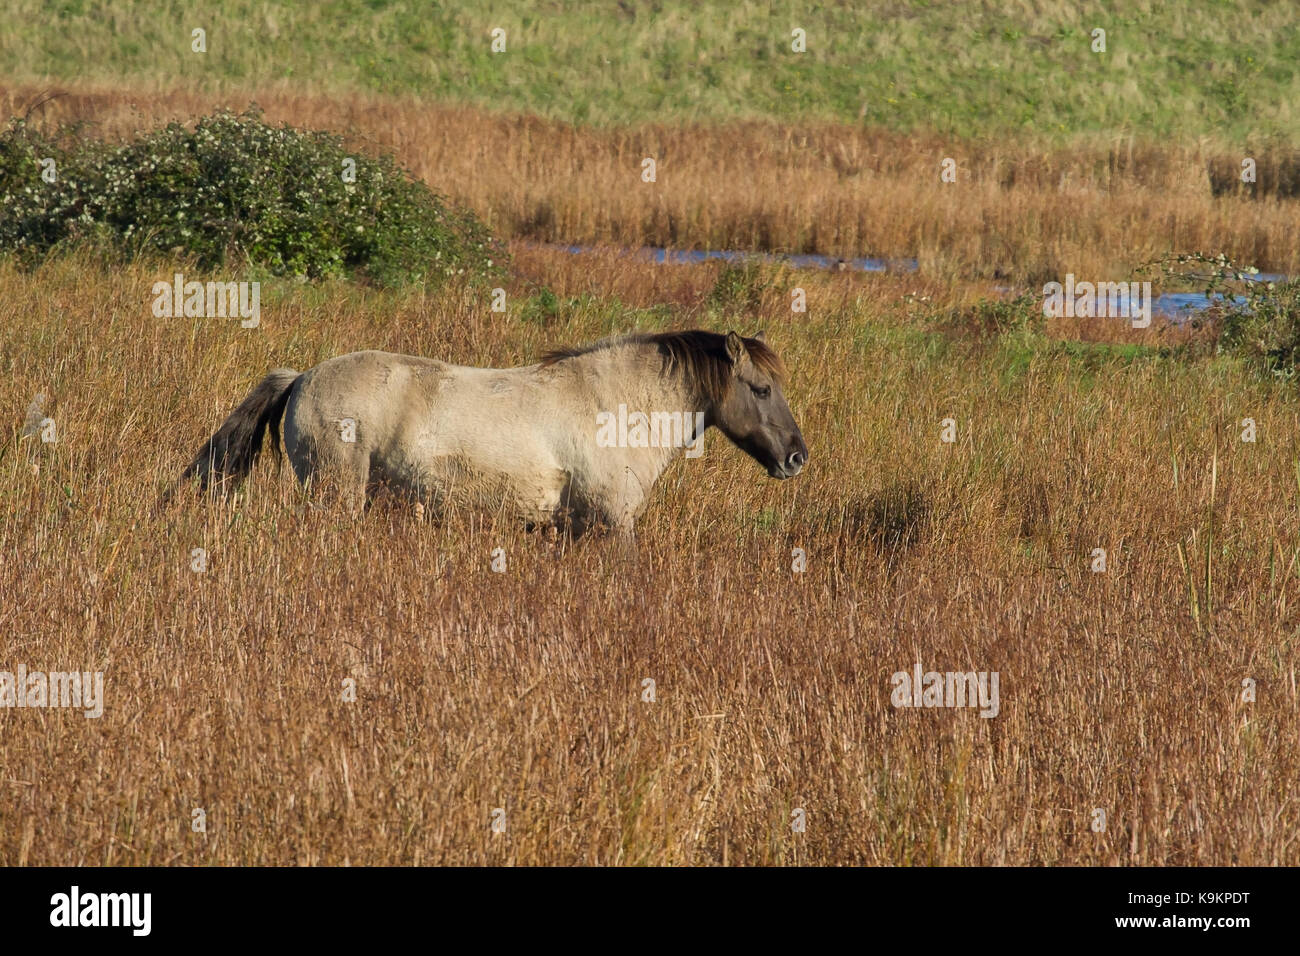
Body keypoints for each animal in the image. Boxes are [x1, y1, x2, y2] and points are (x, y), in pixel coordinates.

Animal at [177, 329, 808, 534]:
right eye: (760, 389)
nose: (797, 456)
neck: (614, 407)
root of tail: (303, 376)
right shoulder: (612, 524)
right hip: (336, 495)